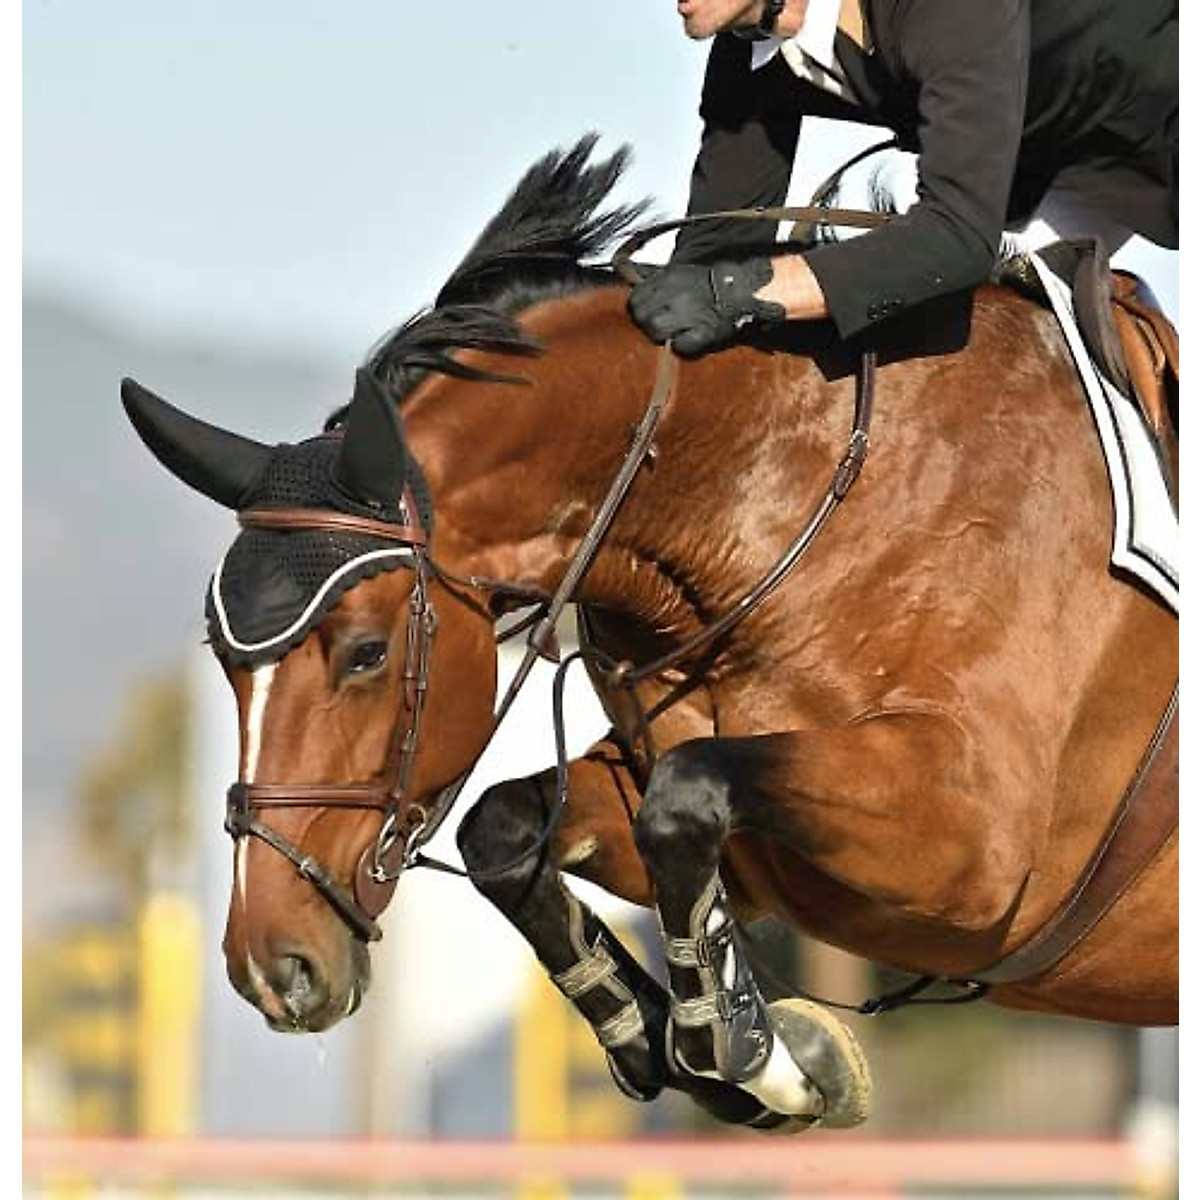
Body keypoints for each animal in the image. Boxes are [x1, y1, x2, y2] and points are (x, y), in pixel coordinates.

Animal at [120, 137, 1178, 1133]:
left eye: (367, 652)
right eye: (223, 662)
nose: (275, 968)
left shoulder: (978, 853)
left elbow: (686, 797)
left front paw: (747, 1050)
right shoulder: (733, 835)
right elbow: (513, 824)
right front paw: (690, 1042)